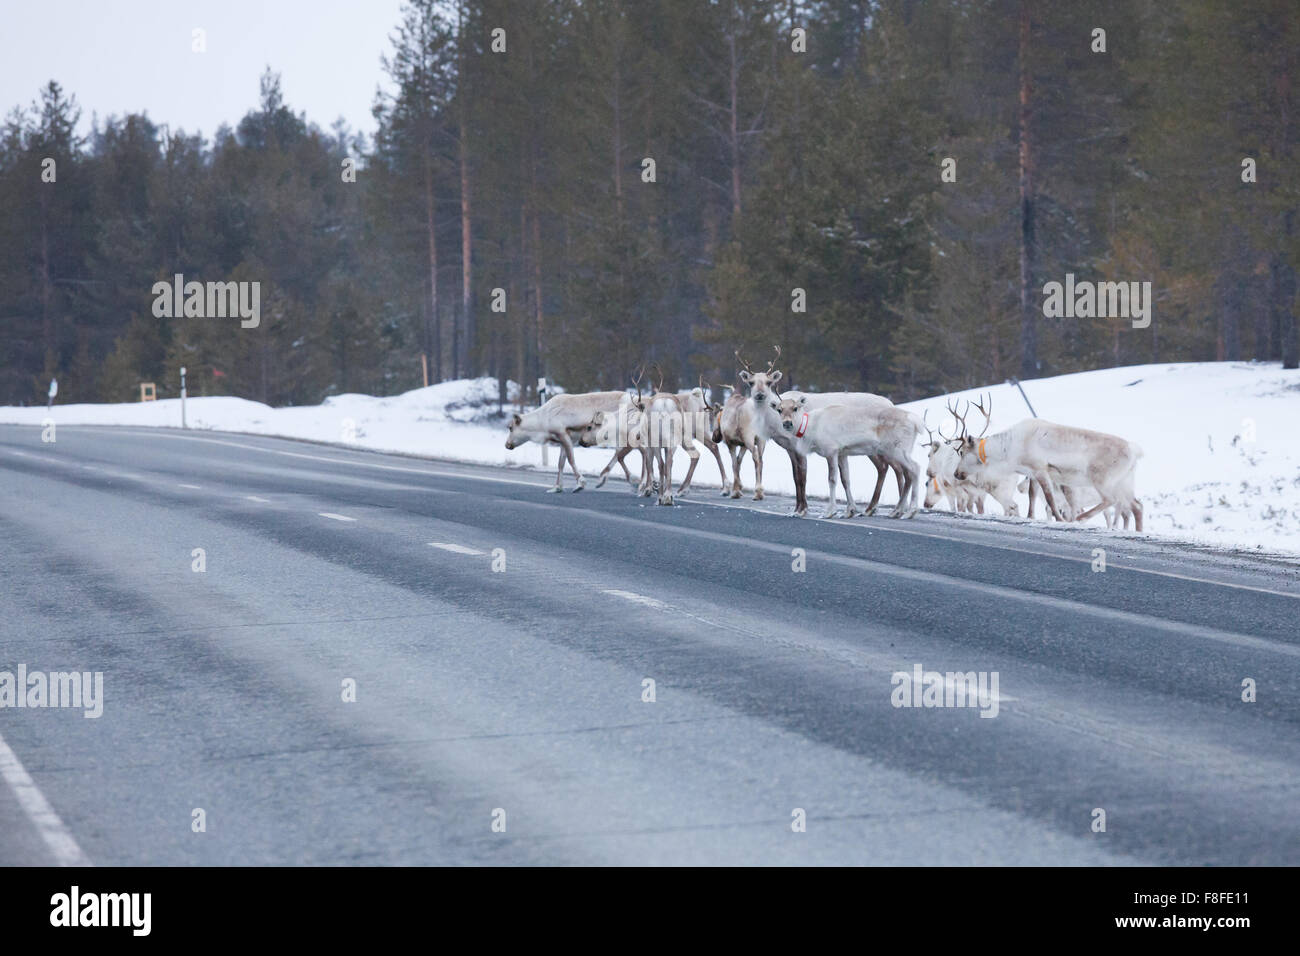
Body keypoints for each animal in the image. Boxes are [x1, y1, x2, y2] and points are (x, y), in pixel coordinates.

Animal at [951, 395, 1144, 530]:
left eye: (961, 451)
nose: (956, 473)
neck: (1008, 448)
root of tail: (1135, 451)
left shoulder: (1040, 469)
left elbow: (1049, 498)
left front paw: (1060, 519)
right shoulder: (1032, 473)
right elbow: (1032, 496)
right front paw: (1030, 517)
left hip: (1102, 479)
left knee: (1111, 500)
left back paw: (1079, 519)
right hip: (1125, 481)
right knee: (1137, 506)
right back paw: (1138, 531)